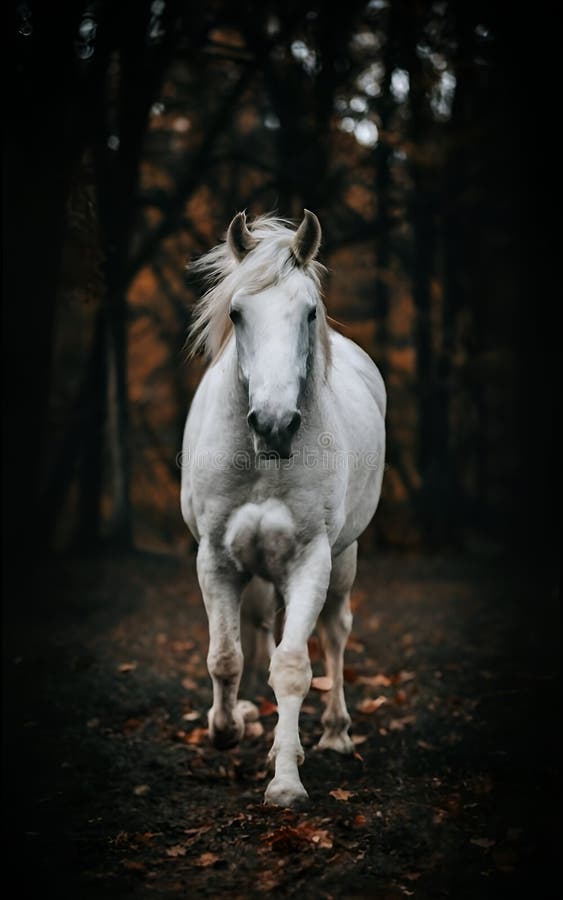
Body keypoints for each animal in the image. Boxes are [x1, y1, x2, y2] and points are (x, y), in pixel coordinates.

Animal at [180, 210, 386, 807]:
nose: (274, 424)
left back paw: (335, 733)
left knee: (335, 632)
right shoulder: (216, 560)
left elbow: (293, 666)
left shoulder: (309, 559)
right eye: (236, 313)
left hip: (344, 558)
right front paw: (228, 727)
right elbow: (226, 657)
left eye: (310, 311)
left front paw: (287, 783)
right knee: (259, 631)